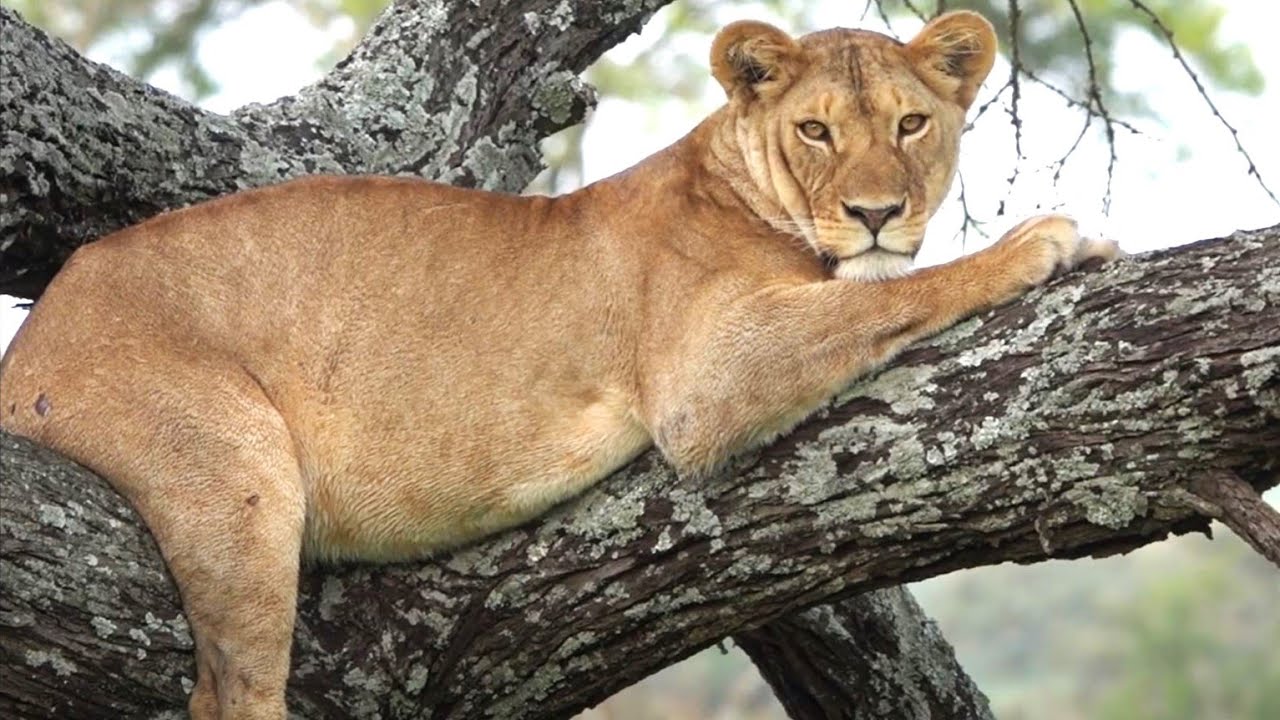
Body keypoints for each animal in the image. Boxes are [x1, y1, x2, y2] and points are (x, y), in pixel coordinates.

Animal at [0, 11, 1119, 718]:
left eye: (910, 122)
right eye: (814, 129)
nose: (877, 212)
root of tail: (31, 337)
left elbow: (878, 288)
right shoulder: (704, 378)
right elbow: (887, 295)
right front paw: (1043, 243)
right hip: (231, 473)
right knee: (230, 692)